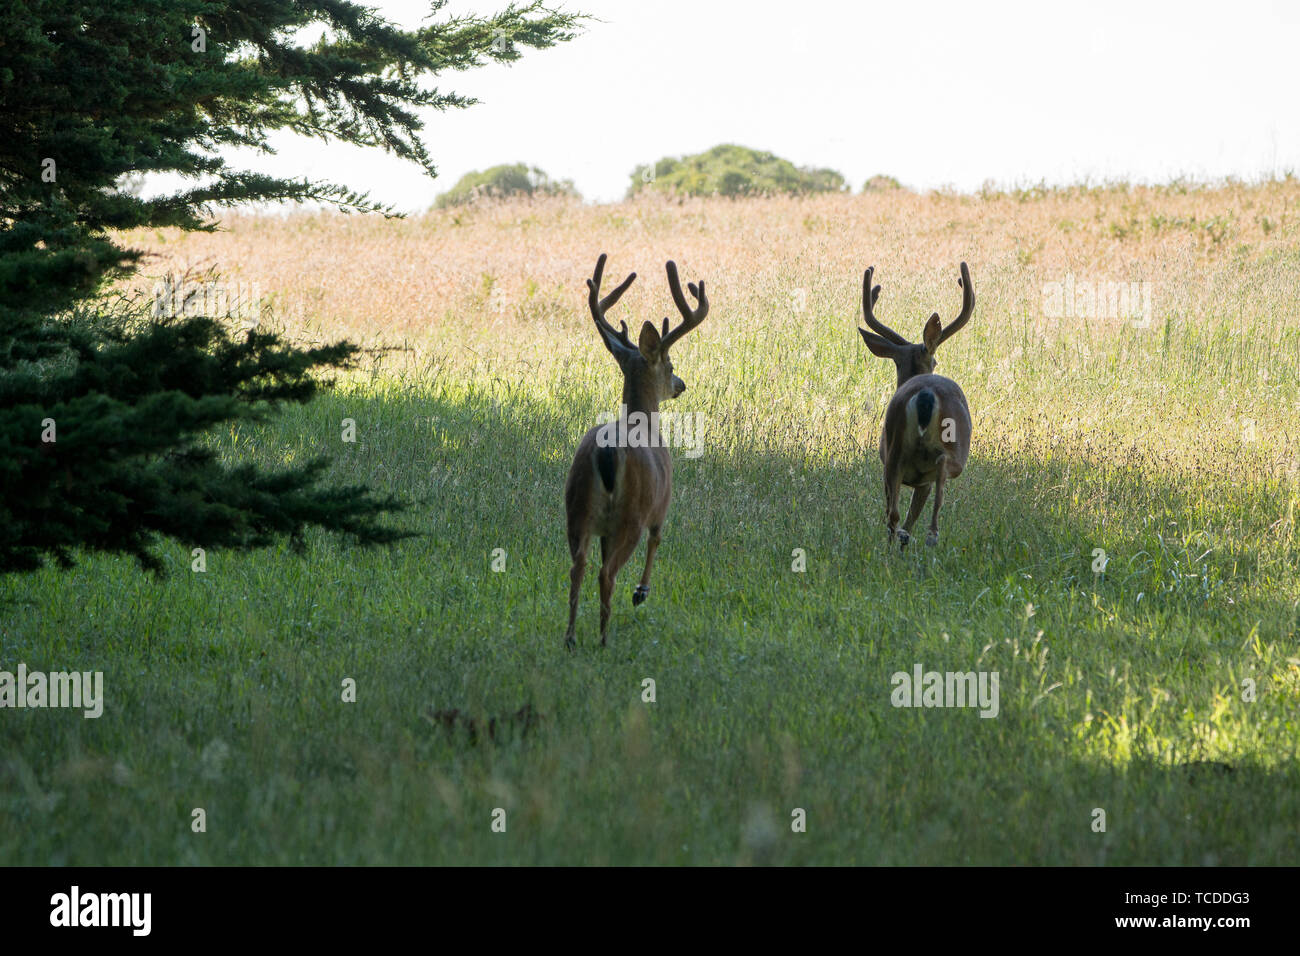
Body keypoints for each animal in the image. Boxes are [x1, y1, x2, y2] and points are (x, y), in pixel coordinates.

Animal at [563, 253, 708, 650]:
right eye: (671, 365)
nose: (680, 384)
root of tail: (608, 452)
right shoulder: (662, 502)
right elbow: (659, 539)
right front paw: (642, 591)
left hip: (577, 506)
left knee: (578, 566)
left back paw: (570, 637)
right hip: (631, 513)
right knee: (606, 573)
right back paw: (602, 639)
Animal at [857, 262, 975, 550]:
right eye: (935, 361)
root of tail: (926, 393)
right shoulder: (921, 482)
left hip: (894, 455)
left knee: (894, 514)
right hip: (940, 449)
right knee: (940, 467)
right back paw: (930, 534)